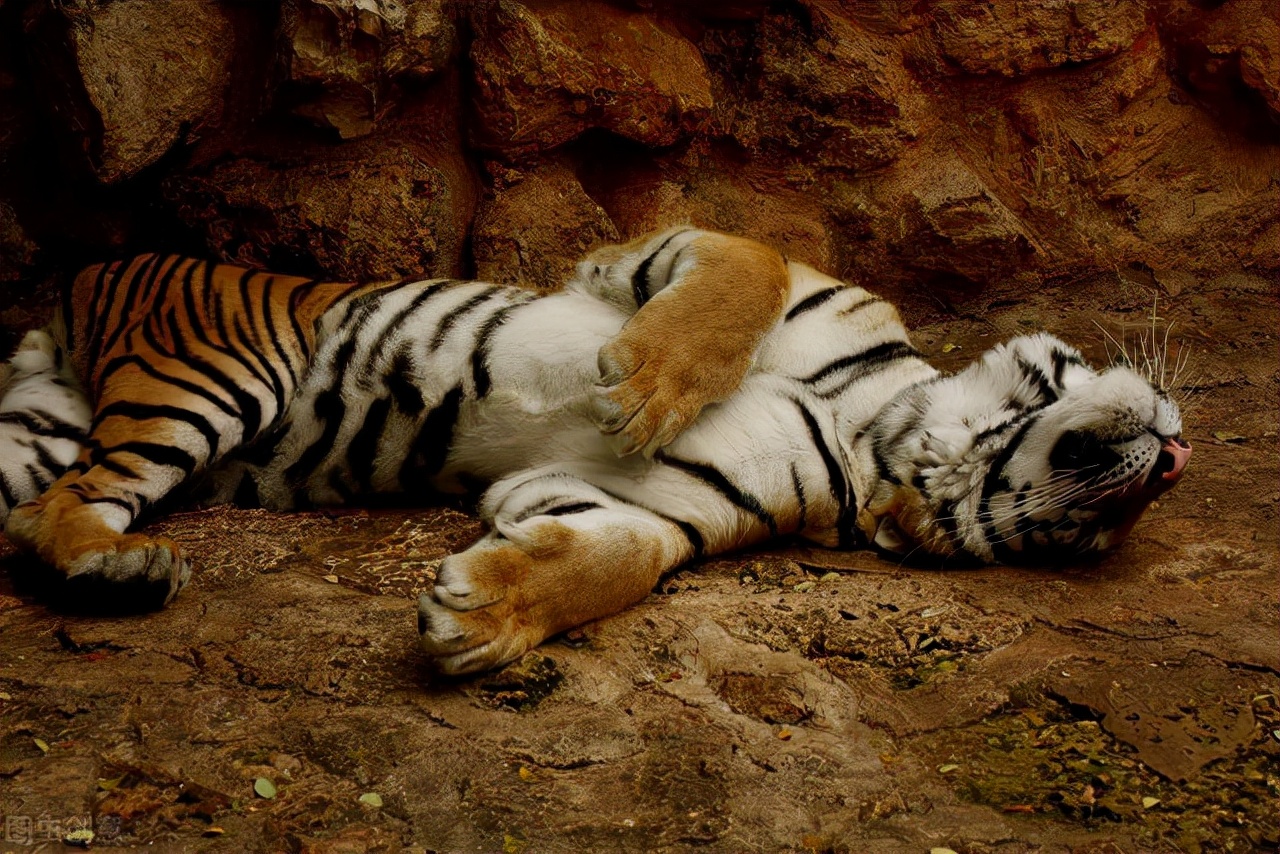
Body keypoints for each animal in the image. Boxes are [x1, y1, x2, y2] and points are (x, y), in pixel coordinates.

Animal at [0, 227, 1190, 673]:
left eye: (1082, 546)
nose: (1176, 456)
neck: (879, 428)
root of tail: (73, 282)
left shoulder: (634, 500)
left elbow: (622, 556)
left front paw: (478, 613)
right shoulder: (679, 251)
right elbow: (746, 273)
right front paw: (648, 381)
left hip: (51, 424)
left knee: (35, 501)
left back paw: (115, 570)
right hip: (208, 376)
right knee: (72, 495)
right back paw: (117, 563)